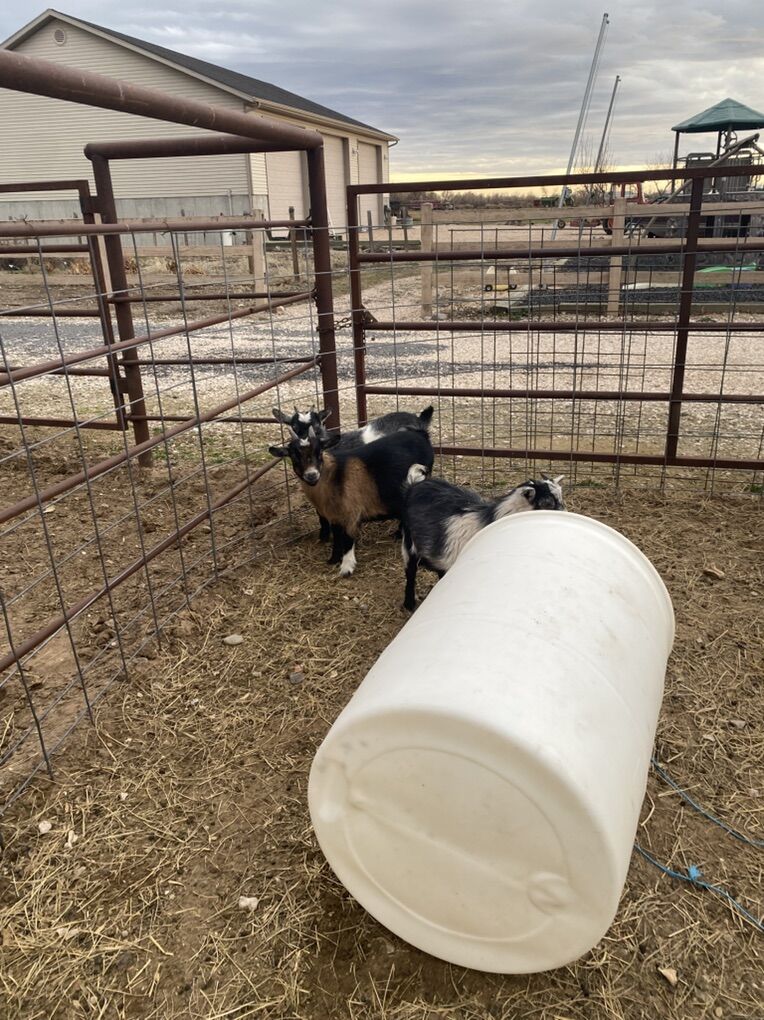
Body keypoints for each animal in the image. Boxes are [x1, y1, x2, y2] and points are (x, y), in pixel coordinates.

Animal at [269, 425, 434, 577]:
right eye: (293, 455)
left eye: (319, 452)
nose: (311, 475)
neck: (335, 476)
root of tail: (421, 435)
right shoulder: (334, 516)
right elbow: (337, 538)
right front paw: (333, 559)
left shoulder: (351, 513)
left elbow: (347, 540)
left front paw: (346, 568)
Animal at [401, 473, 565, 610]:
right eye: (548, 504)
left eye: (561, 499)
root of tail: (415, 485)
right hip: (409, 542)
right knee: (410, 570)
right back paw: (409, 604)